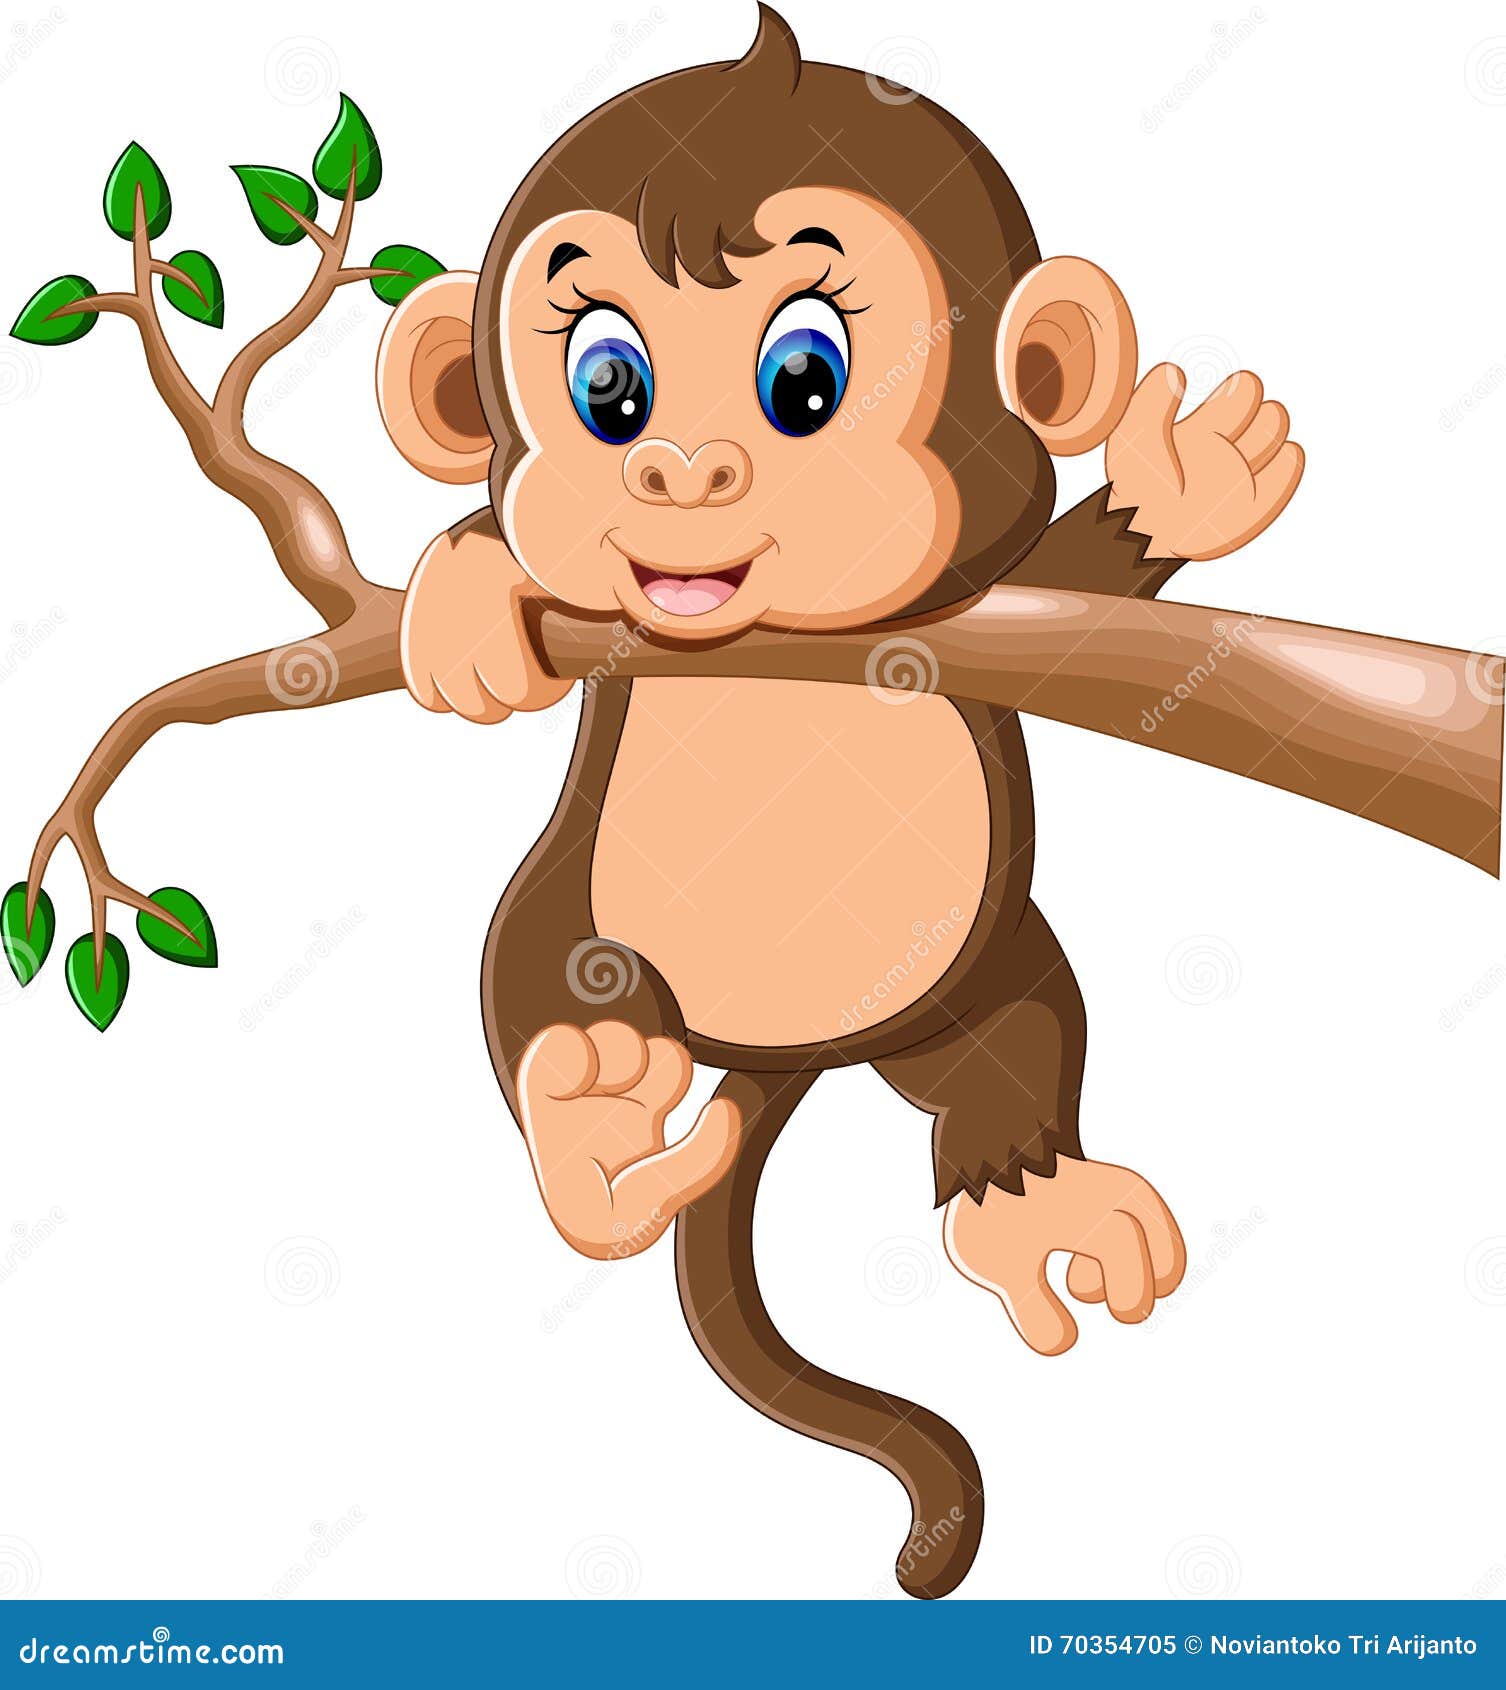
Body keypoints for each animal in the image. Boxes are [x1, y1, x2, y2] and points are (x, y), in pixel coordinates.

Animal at [376, 7, 1304, 1598]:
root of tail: (773, 1053)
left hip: (976, 969)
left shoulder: (990, 617)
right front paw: (462, 599)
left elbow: (1084, 589)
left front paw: (1178, 480)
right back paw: (594, 1126)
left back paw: (1027, 1194)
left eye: (803, 378)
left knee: (1015, 1043)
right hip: (580, 919)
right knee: (540, 990)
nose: (681, 470)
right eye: (605, 387)